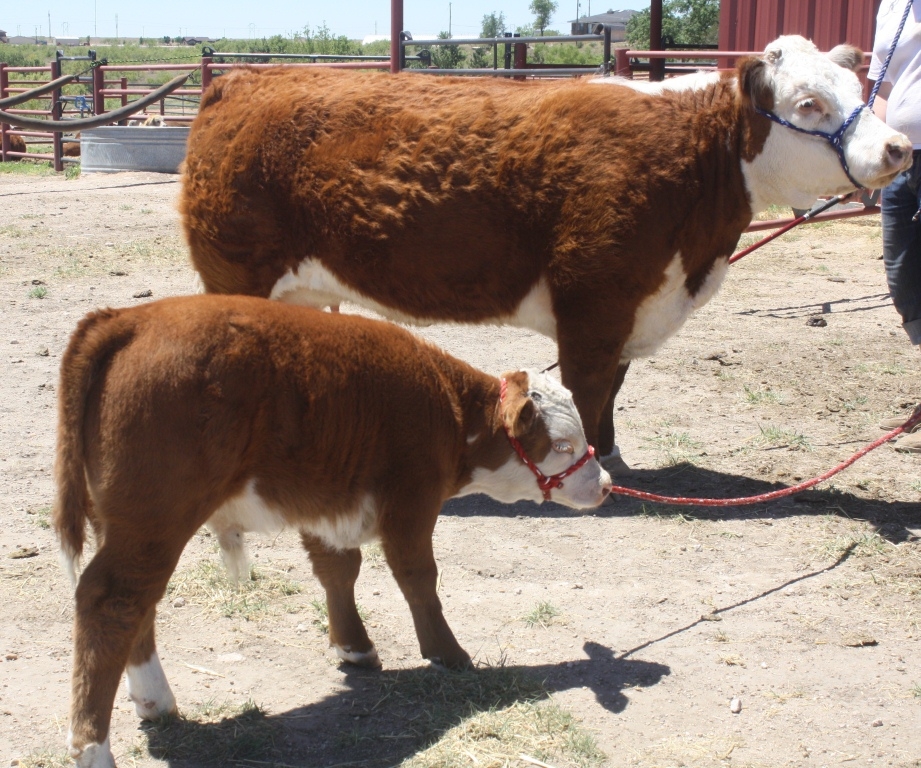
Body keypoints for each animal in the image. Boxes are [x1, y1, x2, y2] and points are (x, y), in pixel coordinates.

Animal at [54, 294, 611, 768]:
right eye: (561, 445)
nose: (605, 484)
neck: (448, 411)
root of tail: (128, 320)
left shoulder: (328, 501)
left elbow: (338, 570)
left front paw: (353, 646)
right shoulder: (412, 497)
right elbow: (417, 576)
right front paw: (448, 654)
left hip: (127, 524)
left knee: (139, 602)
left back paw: (155, 700)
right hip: (155, 515)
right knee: (111, 601)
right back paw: (93, 746)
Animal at [180, 36, 913, 474]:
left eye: (859, 90)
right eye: (808, 103)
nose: (898, 147)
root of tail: (241, 81)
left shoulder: (630, 304)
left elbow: (613, 387)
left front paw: (613, 455)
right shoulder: (595, 297)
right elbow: (589, 386)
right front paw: (592, 464)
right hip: (236, 272)